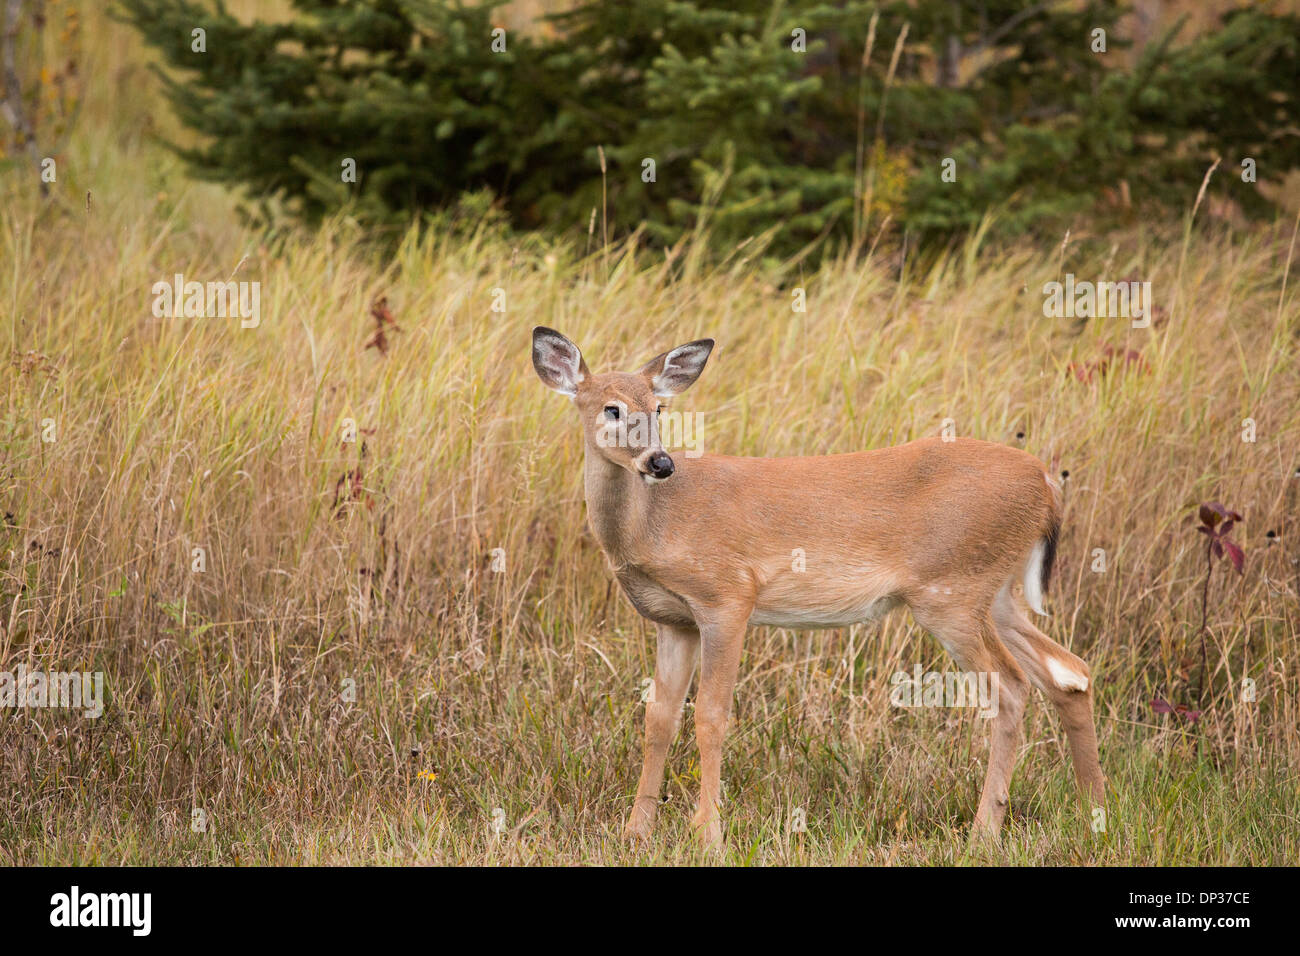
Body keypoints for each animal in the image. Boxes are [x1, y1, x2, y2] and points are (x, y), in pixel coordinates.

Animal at [531, 326, 1105, 848]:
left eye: (659, 408)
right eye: (611, 409)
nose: (660, 462)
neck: (651, 527)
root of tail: (1046, 485)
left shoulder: (728, 596)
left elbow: (711, 716)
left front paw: (708, 834)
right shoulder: (674, 621)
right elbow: (659, 719)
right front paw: (635, 832)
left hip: (953, 591)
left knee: (1012, 686)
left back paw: (984, 832)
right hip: (996, 593)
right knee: (1070, 672)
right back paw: (1093, 811)